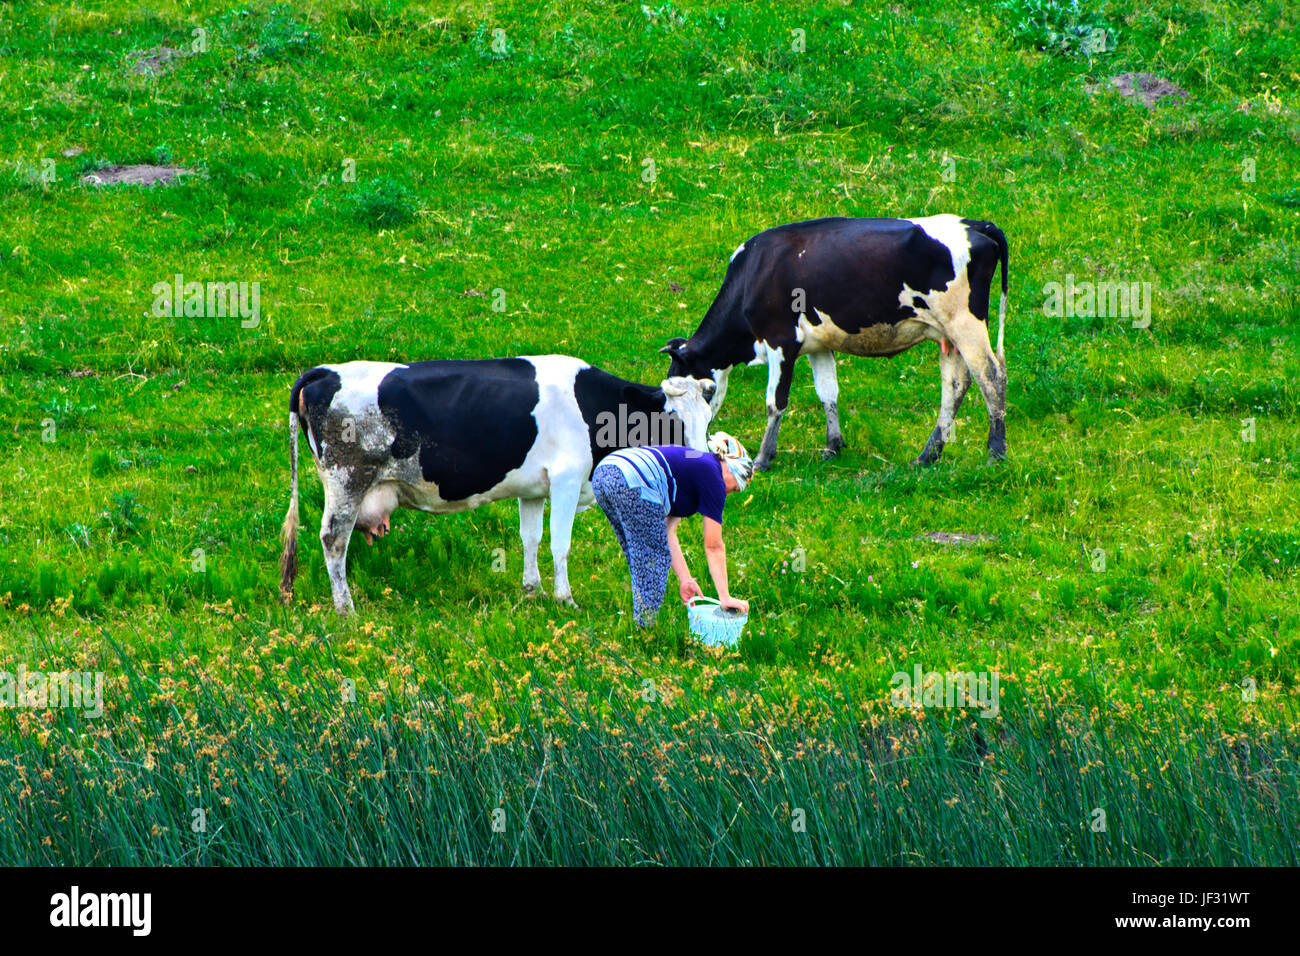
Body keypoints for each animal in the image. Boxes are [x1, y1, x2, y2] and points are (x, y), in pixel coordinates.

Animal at [277, 356, 715, 614]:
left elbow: (531, 538)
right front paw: (565, 599)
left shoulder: (533, 489)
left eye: (708, 418)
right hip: (347, 480)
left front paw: (532, 590)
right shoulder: (567, 478)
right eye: (670, 419)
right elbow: (560, 543)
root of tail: (324, 371)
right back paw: (345, 609)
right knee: (333, 539)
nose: (699, 460)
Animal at [660, 214, 1009, 470]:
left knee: (992, 378)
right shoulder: (818, 345)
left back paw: (995, 454)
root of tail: (973, 224)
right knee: (955, 386)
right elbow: (827, 393)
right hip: (948, 336)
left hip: (965, 324)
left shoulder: (781, 341)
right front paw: (832, 446)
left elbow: (776, 402)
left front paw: (762, 458)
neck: (753, 275)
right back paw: (927, 456)